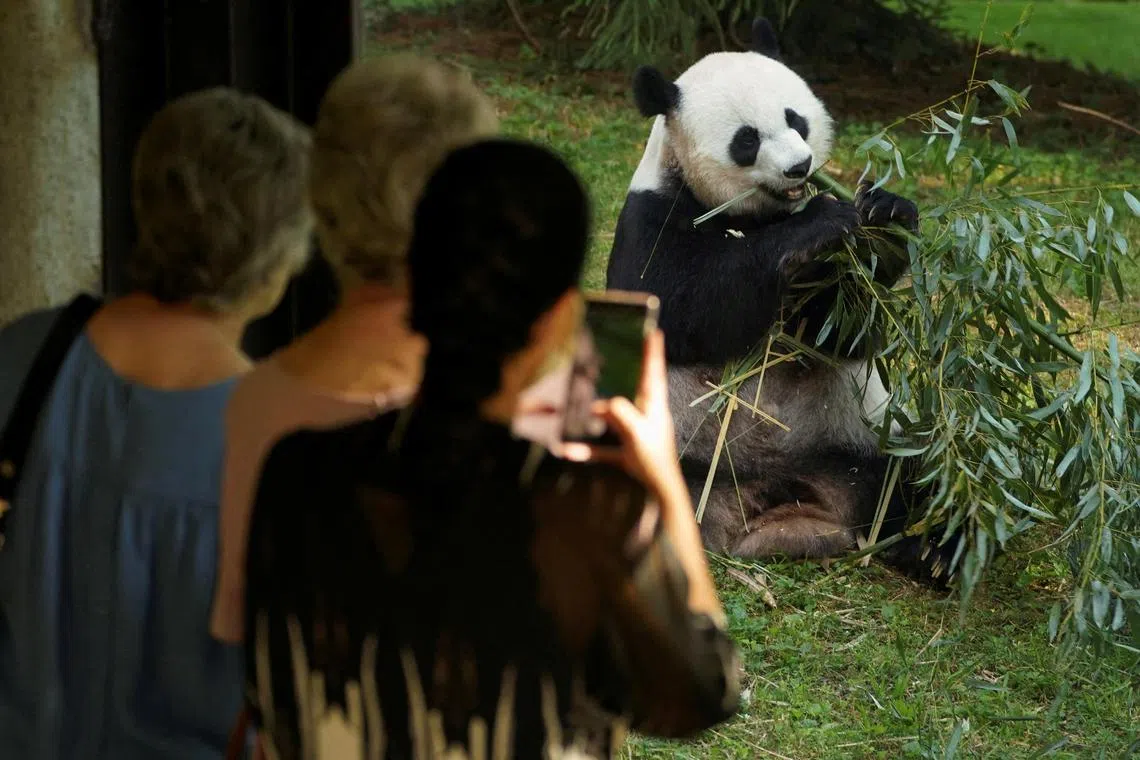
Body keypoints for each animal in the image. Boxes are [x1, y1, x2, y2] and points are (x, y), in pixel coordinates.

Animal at [605, 17, 959, 585]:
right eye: (747, 139)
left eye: (796, 118)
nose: (800, 167)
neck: (757, 215)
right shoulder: (650, 219)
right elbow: (687, 306)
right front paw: (818, 222)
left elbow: (840, 330)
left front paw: (883, 215)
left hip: (861, 435)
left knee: (919, 472)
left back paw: (932, 549)